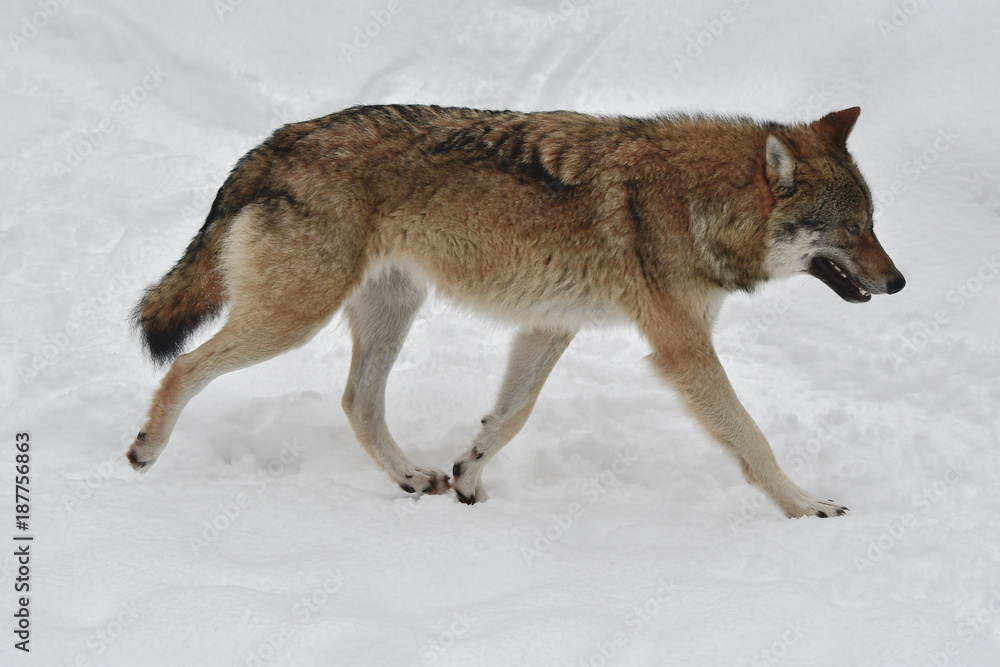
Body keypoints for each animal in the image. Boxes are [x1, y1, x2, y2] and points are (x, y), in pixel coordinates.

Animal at [128, 104, 904, 518]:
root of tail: (273, 142)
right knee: (185, 367)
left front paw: (469, 474)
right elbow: (752, 438)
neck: (697, 203)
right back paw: (144, 452)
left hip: (389, 310)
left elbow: (510, 416)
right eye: (852, 229)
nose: (899, 283)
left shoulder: (550, 325)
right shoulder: (682, 349)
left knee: (358, 401)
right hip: (298, 317)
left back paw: (412, 478)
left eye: (873, 223)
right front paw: (807, 507)